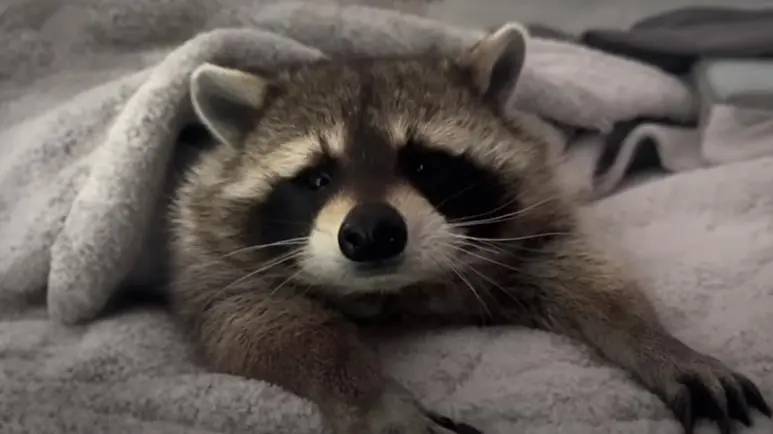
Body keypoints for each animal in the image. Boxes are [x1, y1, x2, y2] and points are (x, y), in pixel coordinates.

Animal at [168, 23, 771, 434]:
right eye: (317, 178)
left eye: (423, 164)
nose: (371, 233)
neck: (398, 293)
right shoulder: (213, 257)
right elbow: (260, 325)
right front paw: (364, 389)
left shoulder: (529, 224)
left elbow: (584, 278)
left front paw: (655, 341)